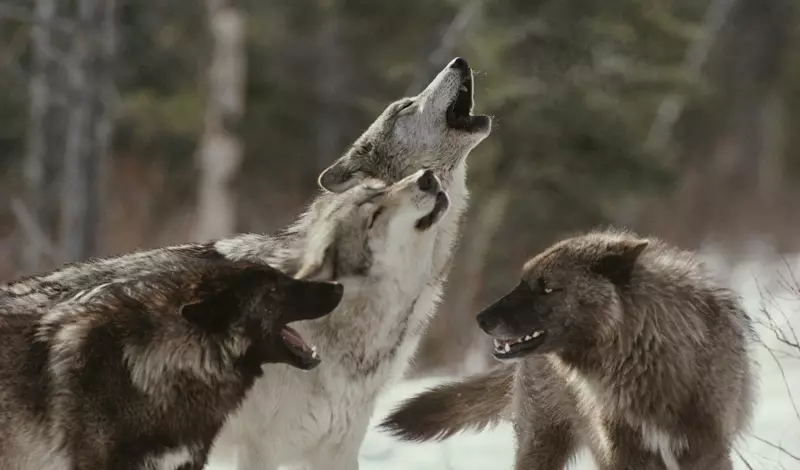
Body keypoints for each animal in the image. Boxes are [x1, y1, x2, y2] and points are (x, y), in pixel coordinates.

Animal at [382, 229, 756, 470]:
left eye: (546, 287)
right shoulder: (625, 455)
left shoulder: (706, 452)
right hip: (541, 446)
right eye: (522, 281)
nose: (481, 318)